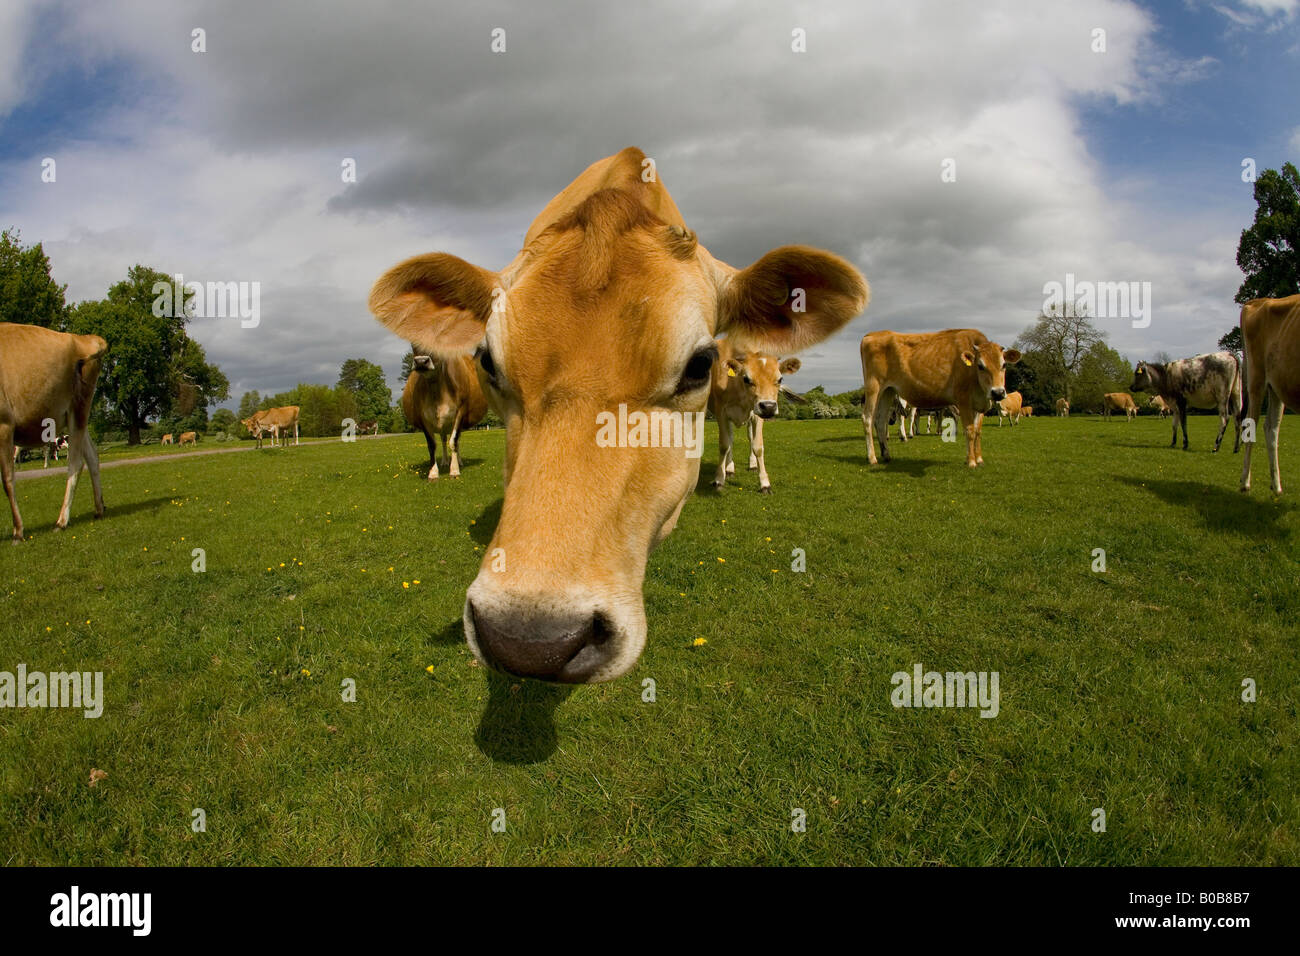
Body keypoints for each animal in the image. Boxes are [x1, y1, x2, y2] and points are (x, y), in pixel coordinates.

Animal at [0, 323, 108, 542]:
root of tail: (86, 338)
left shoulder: (4, 425)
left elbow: (7, 480)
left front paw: (18, 531)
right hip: (74, 417)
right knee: (92, 456)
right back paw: (99, 509)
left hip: (78, 408)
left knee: (76, 462)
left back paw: (61, 522)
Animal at [708, 341, 800, 493]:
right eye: (746, 378)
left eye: (780, 379)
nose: (768, 406)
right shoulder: (721, 412)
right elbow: (724, 445)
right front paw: (719, 479)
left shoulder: (758, 416)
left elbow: (757, 446)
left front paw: (765, 483)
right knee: (730, 439)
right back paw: (729, 468)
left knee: (749, 438)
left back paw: (751, 465)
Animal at [859, 329, 1019, 468]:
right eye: (980, 366)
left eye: (1004, 365)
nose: (998, 392)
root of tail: (872, 334)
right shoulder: (964, 401)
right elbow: (969, 430)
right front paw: (971, 462)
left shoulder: (980, 405)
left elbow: (978, 431)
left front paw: (979, 459)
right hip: (874, 387)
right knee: (868, 418)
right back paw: (872, 458)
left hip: (888, 391)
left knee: (881, 420)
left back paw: (886, 454)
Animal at [1239, 295, 1300, 494]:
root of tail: (1260, 300)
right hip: (1256, 380)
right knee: (1251, 425)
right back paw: (1245, 482)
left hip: (1277, 386)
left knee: (1271, 428)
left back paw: (1276, 484)